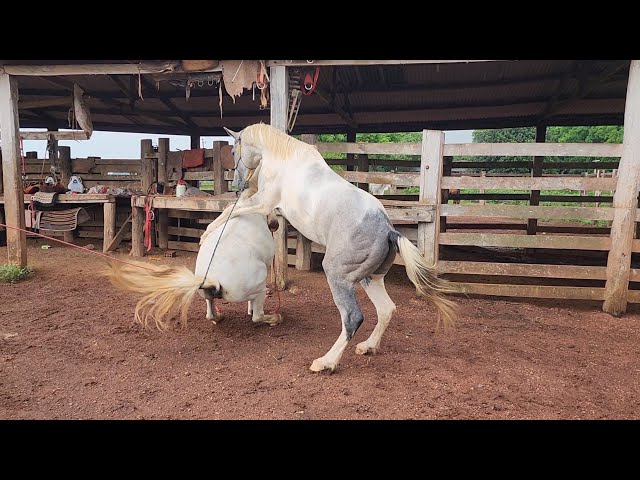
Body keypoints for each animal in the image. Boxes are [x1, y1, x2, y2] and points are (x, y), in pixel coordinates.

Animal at [104, 209, 283, 330]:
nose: (275, 224)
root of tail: (213, 279)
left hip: (207, 294)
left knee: (210, 311)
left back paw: (219, 318)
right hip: (259, 287)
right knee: (258, 316)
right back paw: (275, 318)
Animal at [221, 123, 458, 373]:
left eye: (234, 152)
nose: (237, 186)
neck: (283, 161)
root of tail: (388, 230)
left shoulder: (263, 202)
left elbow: (231, 211)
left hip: (339, 276)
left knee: (352, 318)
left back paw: (325, 362)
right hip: (370, 278)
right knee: (386, 309)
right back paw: (367, 347)